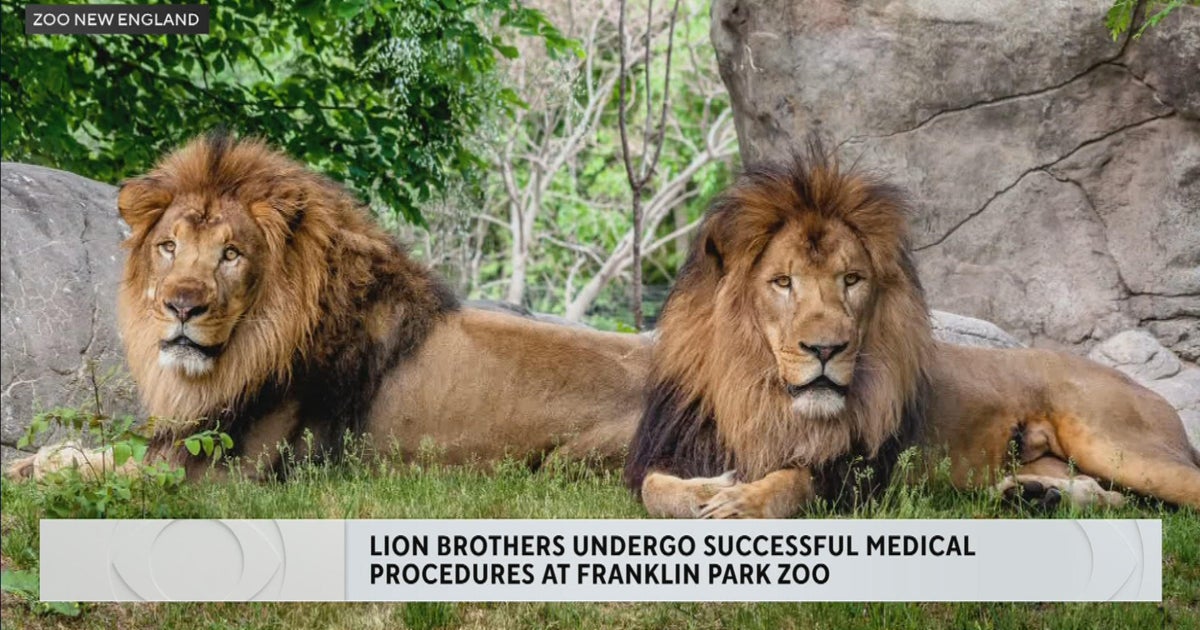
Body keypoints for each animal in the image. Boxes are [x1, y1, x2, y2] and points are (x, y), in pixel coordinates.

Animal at [9, 133, 649, 481]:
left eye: (231, 254)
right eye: (169, 247)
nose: (181, 306)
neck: (248, 349)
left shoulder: (222, 472)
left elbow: (105, 467)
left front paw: (40, 467)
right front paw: (28, 462)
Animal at [625, 153, 1200, 518]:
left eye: (851, 280)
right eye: (783, 282)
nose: (826, 349)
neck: (759, 394)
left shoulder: (859, 475)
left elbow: (795, 481)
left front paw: (740, 501)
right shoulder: (670, 447)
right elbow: (655, 488)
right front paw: (705, 491)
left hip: (1117, 441)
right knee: (1118, 499)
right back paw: (1036, 497)